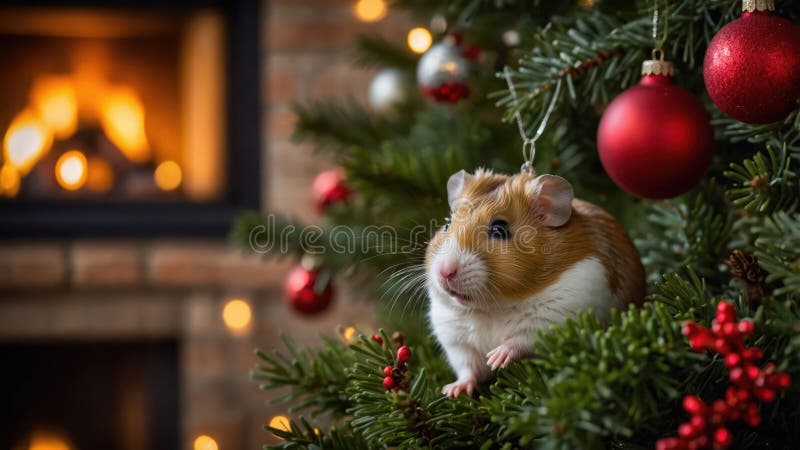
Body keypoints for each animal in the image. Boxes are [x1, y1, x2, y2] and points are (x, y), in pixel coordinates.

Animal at [426, 168, 645, 397]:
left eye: (499, 230)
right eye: (447, 223)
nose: (445, 272)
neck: (494, 307)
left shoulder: (557, 318)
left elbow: (523, 340)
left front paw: (495, 357)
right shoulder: (456, 340)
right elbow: (468, 368)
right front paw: (451, 391)